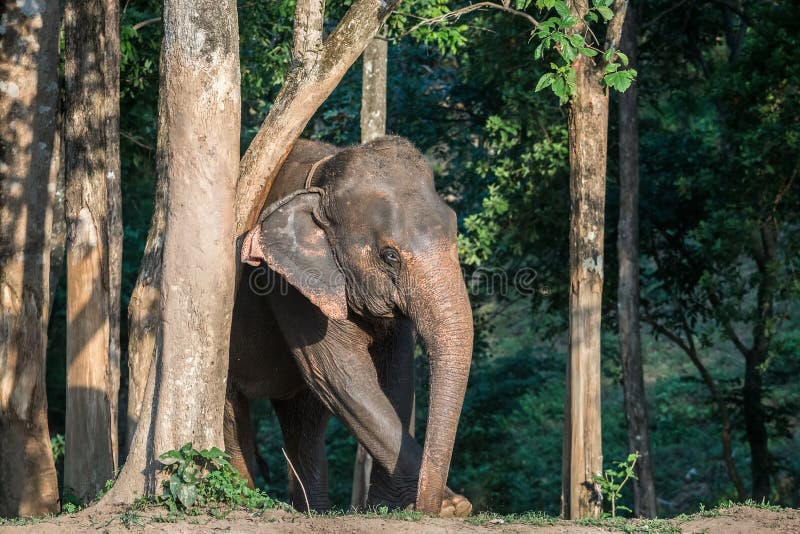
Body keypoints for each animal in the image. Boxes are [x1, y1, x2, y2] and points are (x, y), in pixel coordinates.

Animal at [225, 136, 473, 517]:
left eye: (455, 231)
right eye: (390, 256)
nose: (431, 504)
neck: (324, 178)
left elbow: (396, 376)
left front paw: (391, 505)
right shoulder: (288, 285)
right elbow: (344, 375)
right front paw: (451, 505)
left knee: (306, 421)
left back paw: (314, 511)